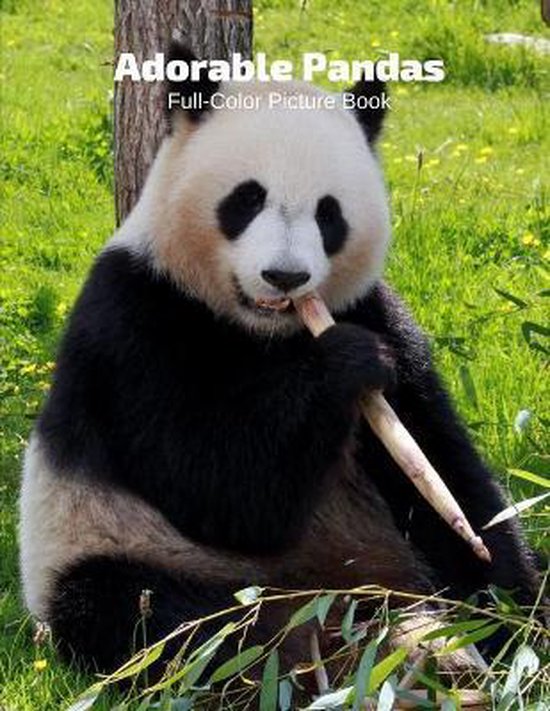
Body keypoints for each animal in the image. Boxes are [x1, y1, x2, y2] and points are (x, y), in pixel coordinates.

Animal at [20, 41, 538, 681]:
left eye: (328, 213)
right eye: (247, 199)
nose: (285, 276)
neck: (267, 332)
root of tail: (334, 602)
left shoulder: (375, 310)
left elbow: (443, 472)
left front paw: (510, 614)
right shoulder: (135, 321)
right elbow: (218, 487)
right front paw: (346, 364)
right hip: (115, 546)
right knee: (147, 616)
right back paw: (282, 662)